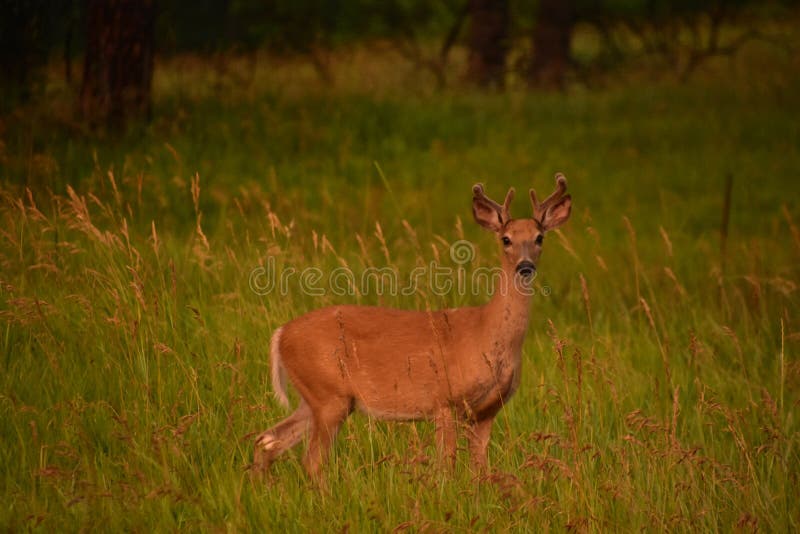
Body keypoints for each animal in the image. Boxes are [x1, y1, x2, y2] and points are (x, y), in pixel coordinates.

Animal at [253, 174, 572, 480]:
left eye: (539, 237)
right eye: (506, 239)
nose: (525, 266)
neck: (487, 333)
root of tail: (280, 335)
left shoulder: (486, 412)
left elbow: (480, 470)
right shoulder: (445, 402)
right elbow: (446, 467)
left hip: (315, 397)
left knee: (267, 441)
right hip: (328, 393)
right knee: (312, 460)